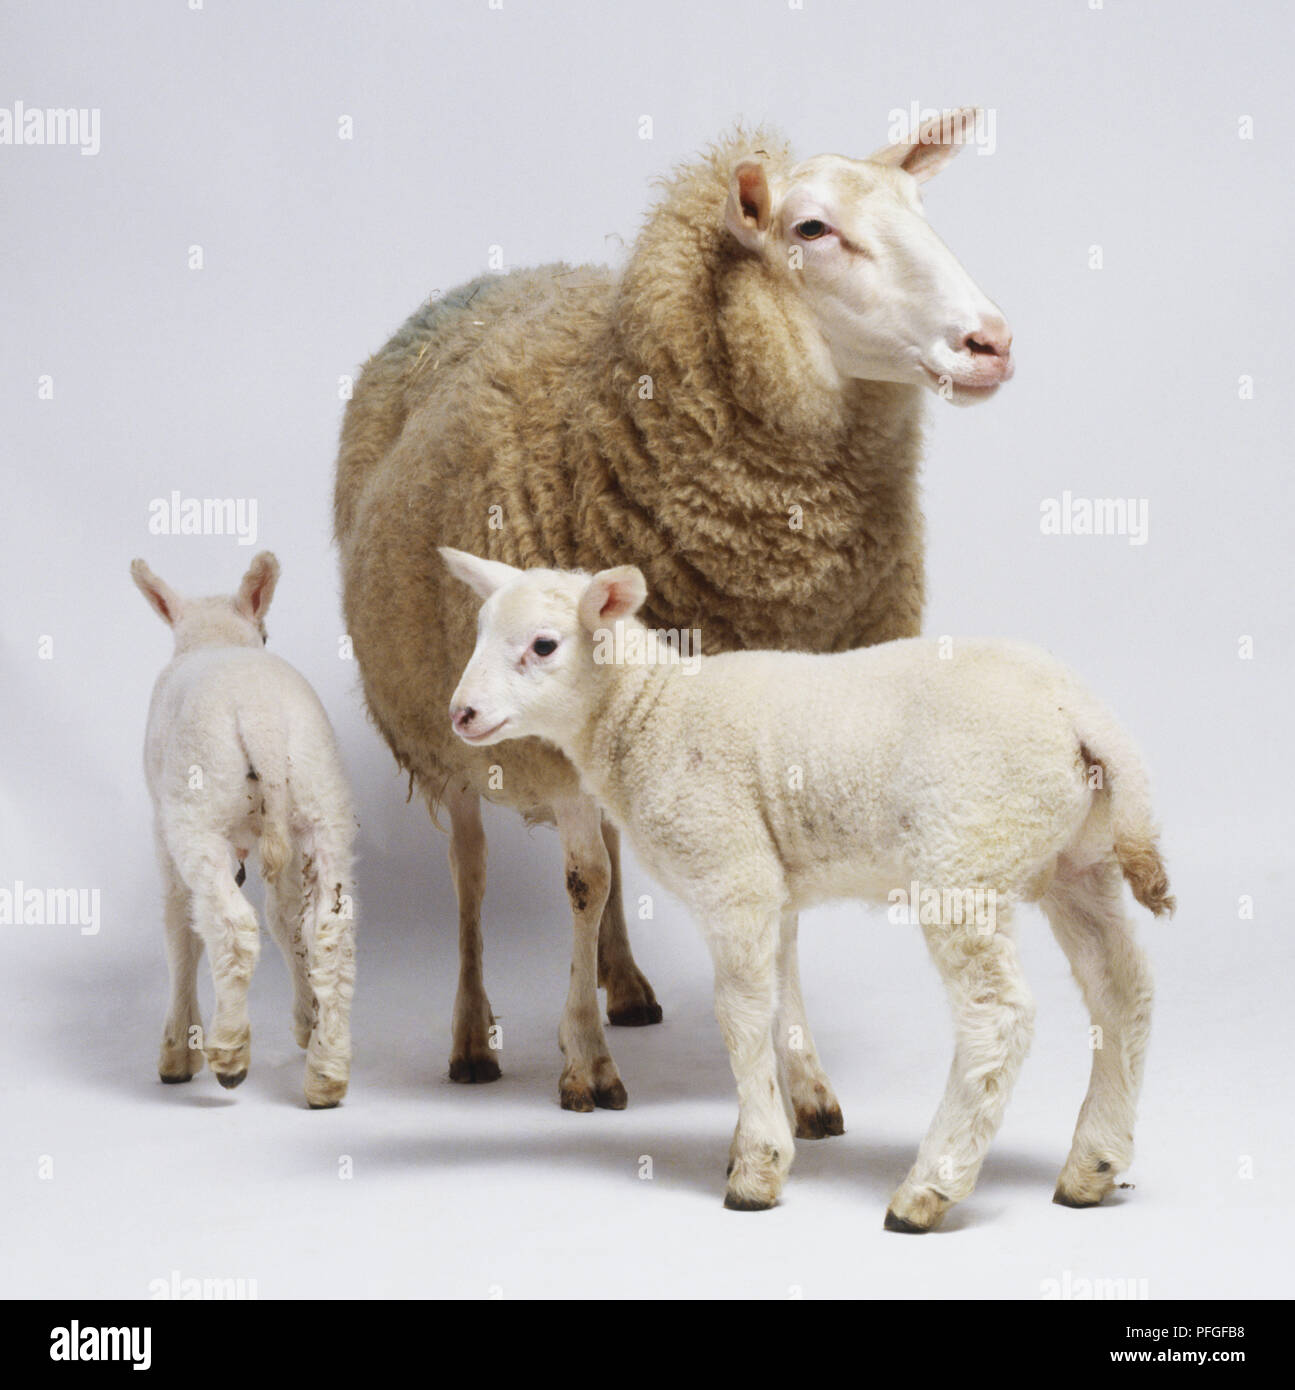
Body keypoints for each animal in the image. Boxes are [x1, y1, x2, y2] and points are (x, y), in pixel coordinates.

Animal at [131, 552, 357, 1109]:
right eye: (267, 632)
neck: (215, 638)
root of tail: (262, 718)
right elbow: (287, 917)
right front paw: (305, 1022)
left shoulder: (163, 824)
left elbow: (179, 927)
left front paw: (177, 1053)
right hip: (322, 797)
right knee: (330, 931)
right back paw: (327, 1074)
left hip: (197, 809)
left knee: (232, 927)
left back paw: (230, 1054)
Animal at [334, 114, 1013, 1114]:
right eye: (811, 229)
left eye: (920, 209)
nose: (990, 342)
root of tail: (474, 286)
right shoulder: (542, 742)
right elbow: (581, 882)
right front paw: (583, 1063)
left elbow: (766, 911)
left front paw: (802, 1079)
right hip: (443, 722)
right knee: (473, 872)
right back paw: (472, 1035)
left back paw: (624, 986)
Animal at [442, 549, 1174, 1228]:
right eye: (476, 632)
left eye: (543, 645)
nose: (461, 714)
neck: (650, 711)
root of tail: (1081, 715)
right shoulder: (770, 887)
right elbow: (771, 1004)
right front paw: (752, 1140)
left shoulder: (732, 871)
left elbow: (739, 1015)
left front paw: (757, 1169)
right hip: (1076, 860)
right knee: (1123, 989)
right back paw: (1092, 1166)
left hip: (965, 854)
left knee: (997, 1017)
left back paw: (928, 1188)